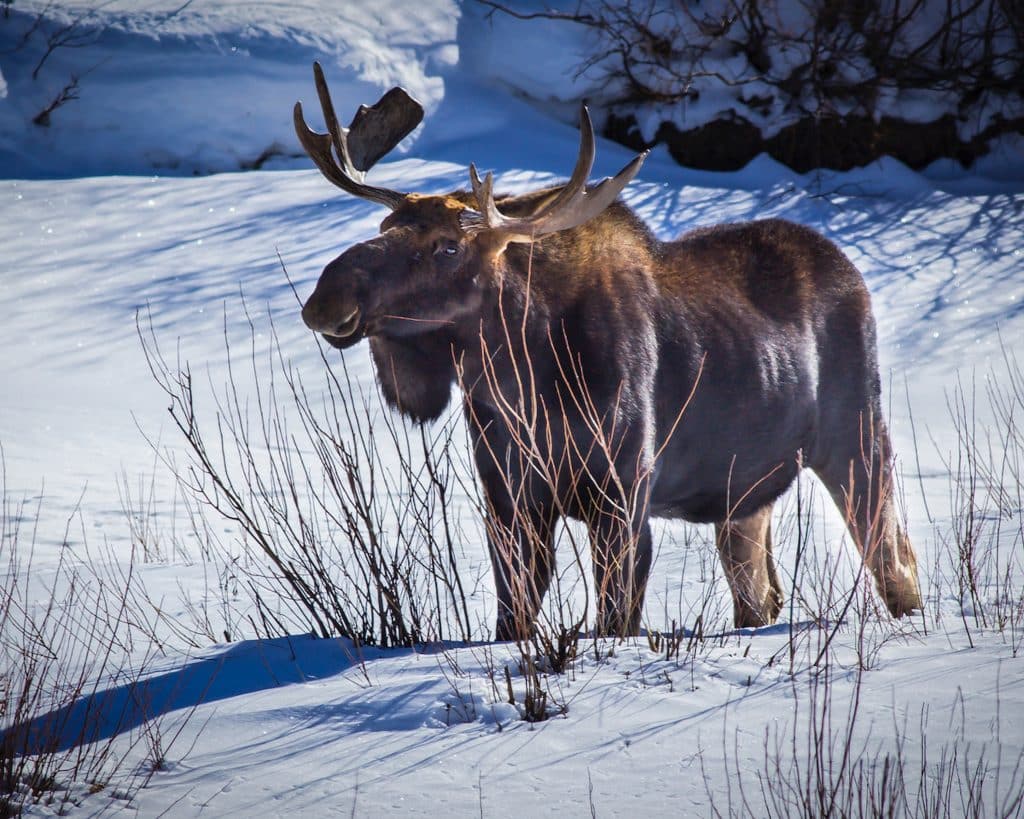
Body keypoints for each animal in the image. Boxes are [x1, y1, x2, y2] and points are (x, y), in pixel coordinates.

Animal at [296, 63, 922, 640]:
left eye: (448, 246)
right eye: (385, 224)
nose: (328, 295)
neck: (521, 382)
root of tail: (854, 277)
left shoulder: (623, 494)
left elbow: (615, 617)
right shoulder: (508, 496)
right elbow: (513, 616)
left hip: (858, 439)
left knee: (896, 563)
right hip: (743, 498)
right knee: (760, 596)